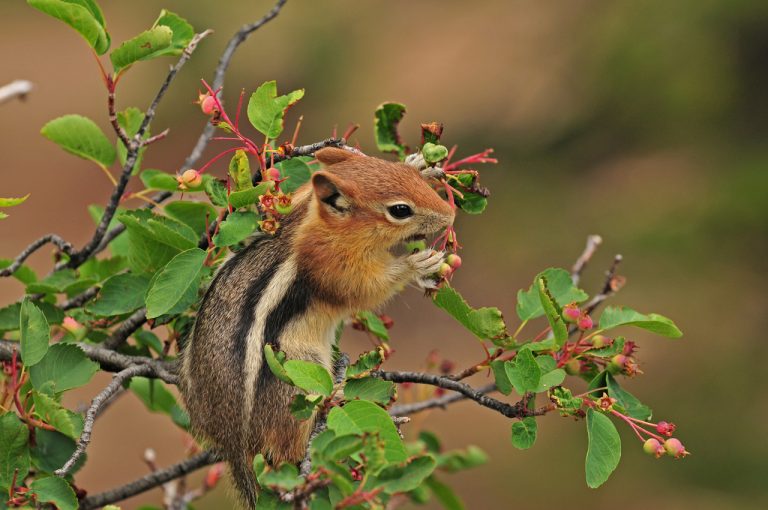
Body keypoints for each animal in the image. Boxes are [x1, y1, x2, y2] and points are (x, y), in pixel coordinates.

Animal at [179, 147, 454, 507]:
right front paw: (415, 263)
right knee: (291, 449)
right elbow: (365, 288)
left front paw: (419, 163)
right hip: (296, 374)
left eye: (410, 180)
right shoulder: (331, 265)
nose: (449, 216)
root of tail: (233, 441)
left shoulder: (298, 211)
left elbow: (304, 191)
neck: (322, 227)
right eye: (400, 210)